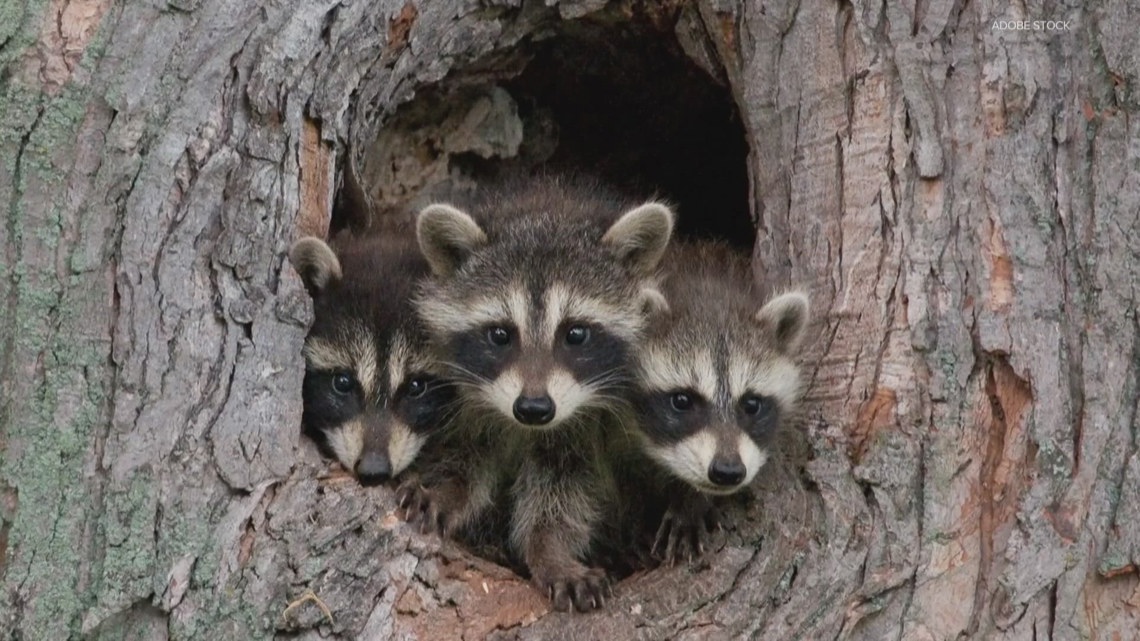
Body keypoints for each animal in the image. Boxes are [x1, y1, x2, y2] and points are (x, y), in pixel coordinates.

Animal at [402, 175, 674, 612]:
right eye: (500, 334)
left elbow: (563, 491)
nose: (533, 408)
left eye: (575, 334)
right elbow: (465, 453)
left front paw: (550, 551)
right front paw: (445, 489)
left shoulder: (582, 426)